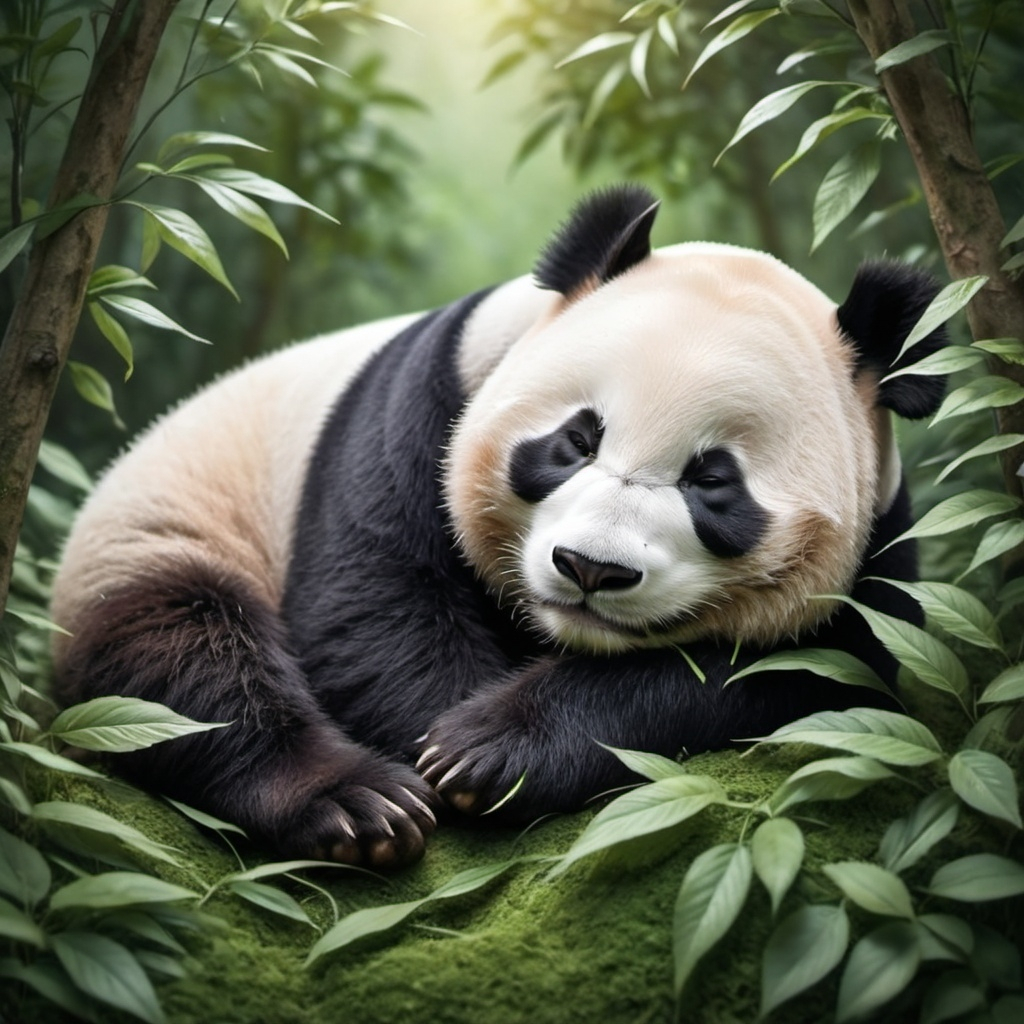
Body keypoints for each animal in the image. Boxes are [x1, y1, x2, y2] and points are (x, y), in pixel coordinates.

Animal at [50, 185, 947, 869]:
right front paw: (435, 760)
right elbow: (375, 602)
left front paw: (492, 751)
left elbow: (786, 675)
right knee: (185, 659)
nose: (590, 569)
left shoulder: (879, 557)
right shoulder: (426, 396)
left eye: (712, 483)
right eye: (576, 440)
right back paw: (353, 805)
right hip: (165, 525)